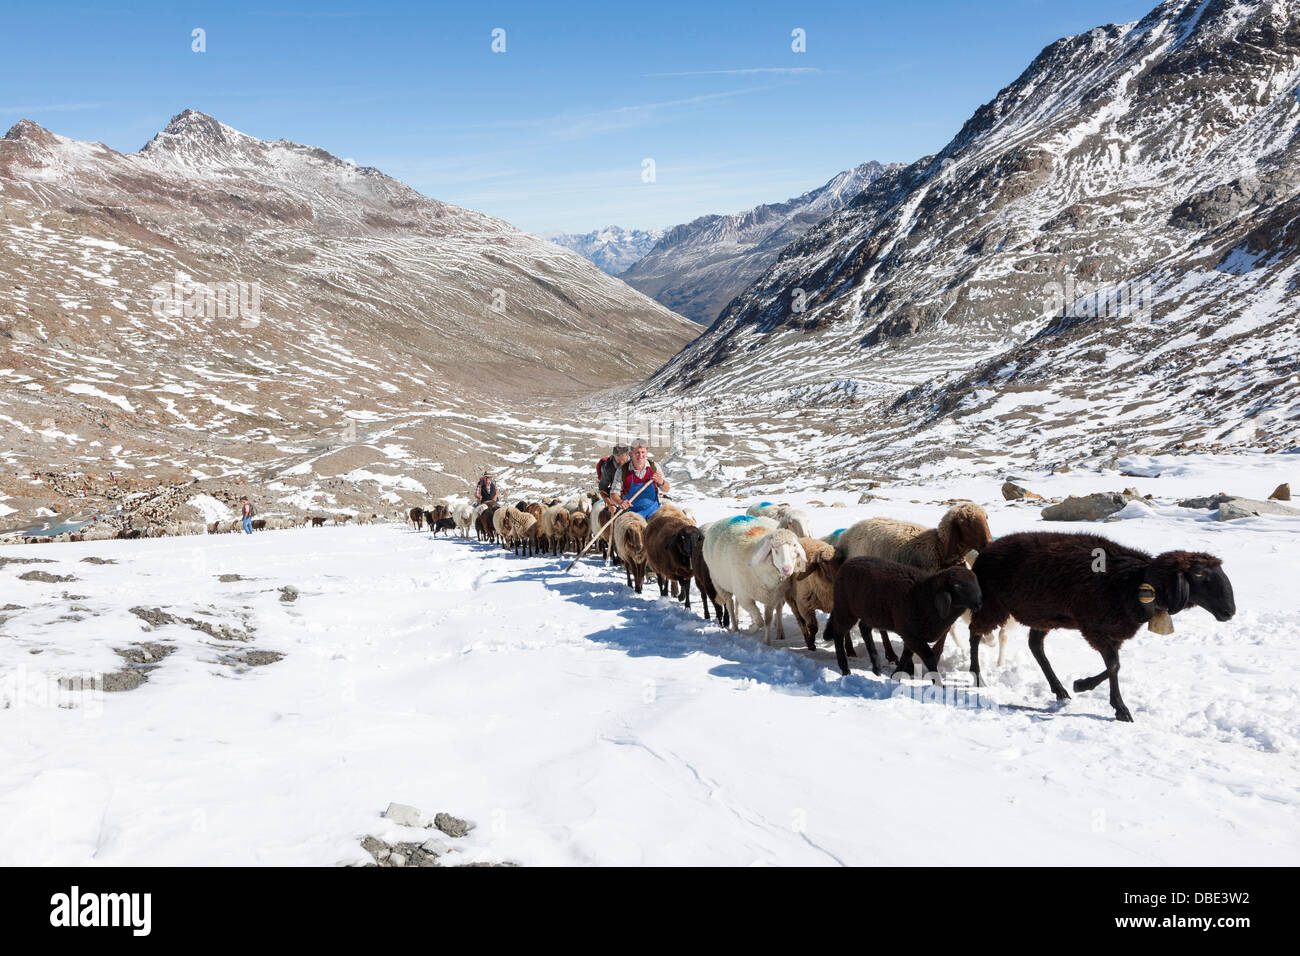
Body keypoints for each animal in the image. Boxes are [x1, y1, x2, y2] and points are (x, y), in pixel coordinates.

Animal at [702, 516, 806, 644]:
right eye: (774, 549)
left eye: (794, 547)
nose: (787, 569)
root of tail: (722, 520)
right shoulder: (745, 598)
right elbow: (760, 621)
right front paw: (752, 629)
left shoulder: (771, 598)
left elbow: (767, 619)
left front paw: (767, 642)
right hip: (720, 584)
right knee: (730, 604)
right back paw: (735, 627)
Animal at [825, 556, 982, 678]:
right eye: (957, 585)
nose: (979, 603)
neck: (925, 596)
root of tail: (847, 562)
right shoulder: (910, 634)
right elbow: (929, 658)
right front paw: (939, 686)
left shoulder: (912, 636)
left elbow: (906, 656)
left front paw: (895, 676)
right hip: (845, 609)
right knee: (838, 633)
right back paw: (845, 669)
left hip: (872, 614)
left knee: (864, 629)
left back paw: (876, 667)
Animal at [968, 532, 1236, 722]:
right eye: (1199, 574)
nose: (1229, 611)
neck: (1134, 583)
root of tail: (985, 552)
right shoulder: (1094, 627)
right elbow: (1114, 665)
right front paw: (1120, 708)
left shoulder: (1111, 631)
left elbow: (1114, 665)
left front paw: (1081, 685)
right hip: (992, 603)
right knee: (974, 634)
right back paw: (977, 675)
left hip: (1043, 616)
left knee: (1035, 646)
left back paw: (1060, 689)